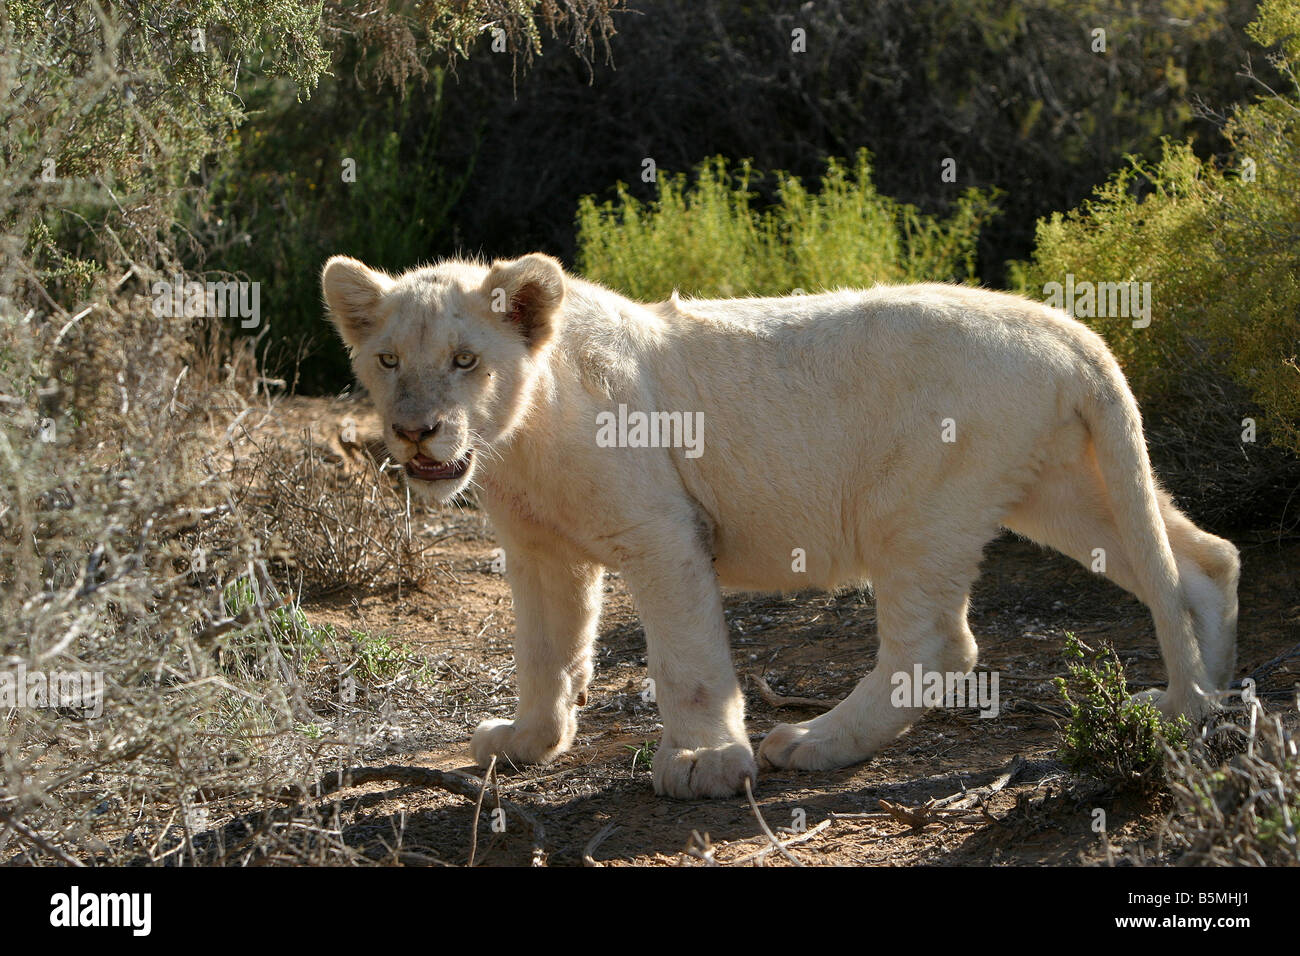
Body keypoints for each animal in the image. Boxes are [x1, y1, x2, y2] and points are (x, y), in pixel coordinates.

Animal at [322, 253, 1240, 799]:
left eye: (466, 361)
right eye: (389, 360)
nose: (415, 431)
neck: (519, 435)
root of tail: (1068, 329)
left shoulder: (663, 532)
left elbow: (687, 662)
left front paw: (703, 763)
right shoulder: (542, 552)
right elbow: (545, 654)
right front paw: (525, 741)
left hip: (916, 505)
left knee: (938, 648)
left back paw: (812, 743)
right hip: (1068, 489)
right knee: (1201, 562)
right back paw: (1194, 704)